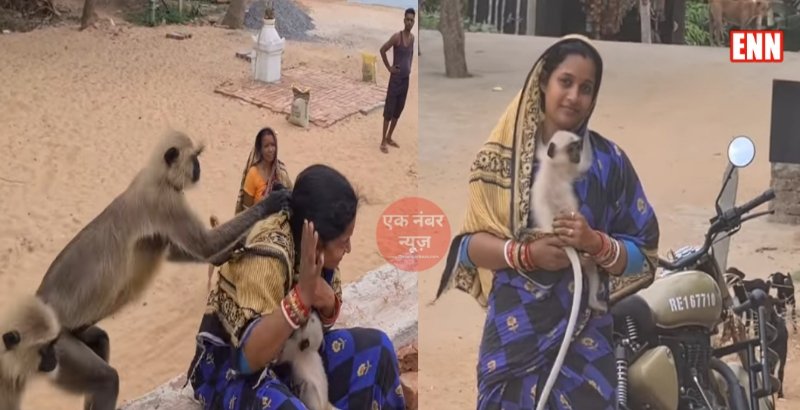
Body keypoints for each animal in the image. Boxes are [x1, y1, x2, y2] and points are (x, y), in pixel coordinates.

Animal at [31, 131, 290, 410]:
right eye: (194, 158)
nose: (199, 168)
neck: (158, 176)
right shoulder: (167, 201)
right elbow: (204, 245)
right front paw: (269, 203)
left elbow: (175, 251)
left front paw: (227, 253)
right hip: (56, 348)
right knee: (106, 379)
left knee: (100, 340)